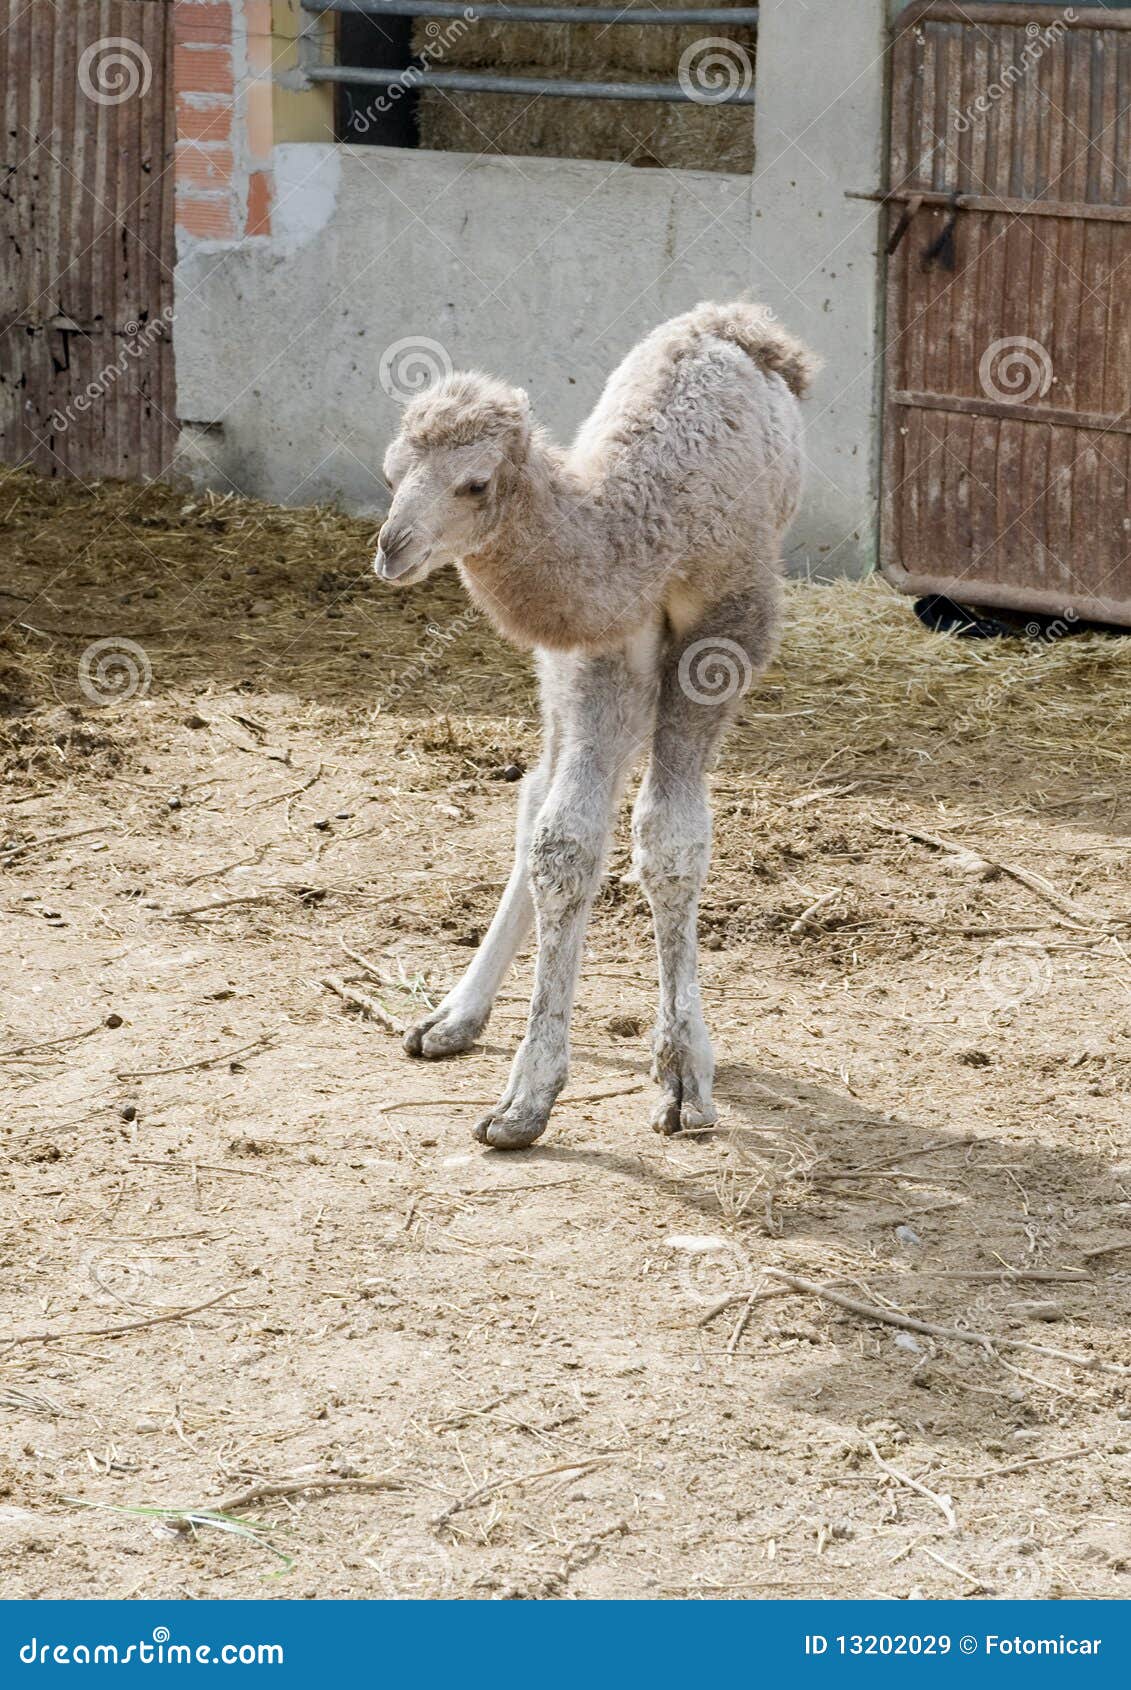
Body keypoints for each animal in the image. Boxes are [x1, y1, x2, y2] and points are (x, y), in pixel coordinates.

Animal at [374, 301, 818, 1149]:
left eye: (473, 483)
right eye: (389, 472)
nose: (391, 548)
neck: (643, 525)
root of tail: (743, 328)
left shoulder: (725, 628)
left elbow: (669, 840)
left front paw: (681, 1081)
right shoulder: (601, 650)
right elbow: (564, 842)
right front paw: (525, 1099)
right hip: (568, 673)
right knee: (536, 794)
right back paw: (450, 1019)